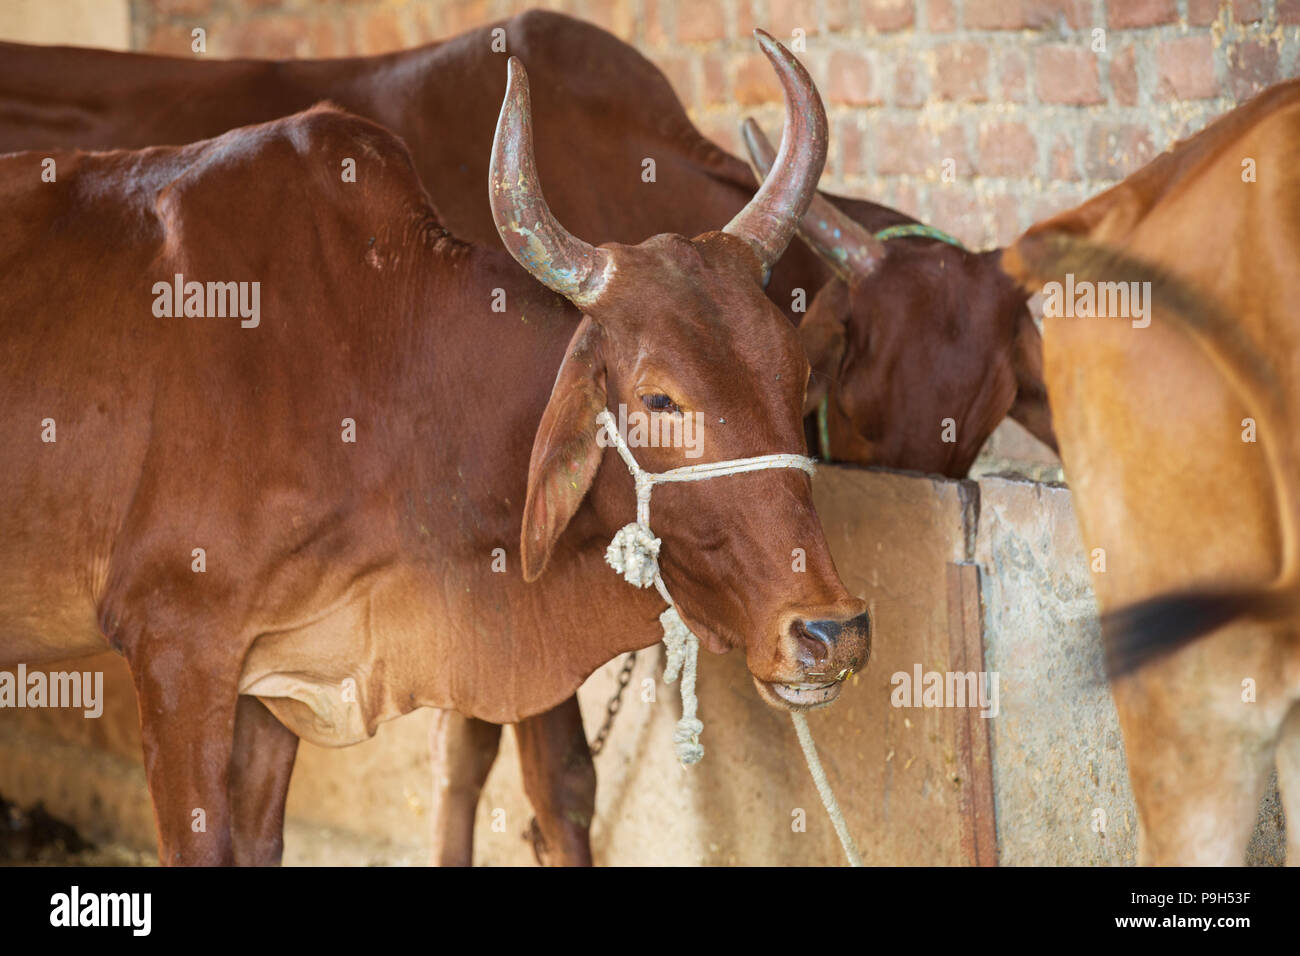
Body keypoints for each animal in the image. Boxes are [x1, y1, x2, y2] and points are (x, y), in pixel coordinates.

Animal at [0, 9, 1051, 864]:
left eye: (794, 381)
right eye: (659, 398)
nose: (832, 630)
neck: (378, 353)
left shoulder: (281, 676)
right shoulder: (177, 653)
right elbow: (553, 786)